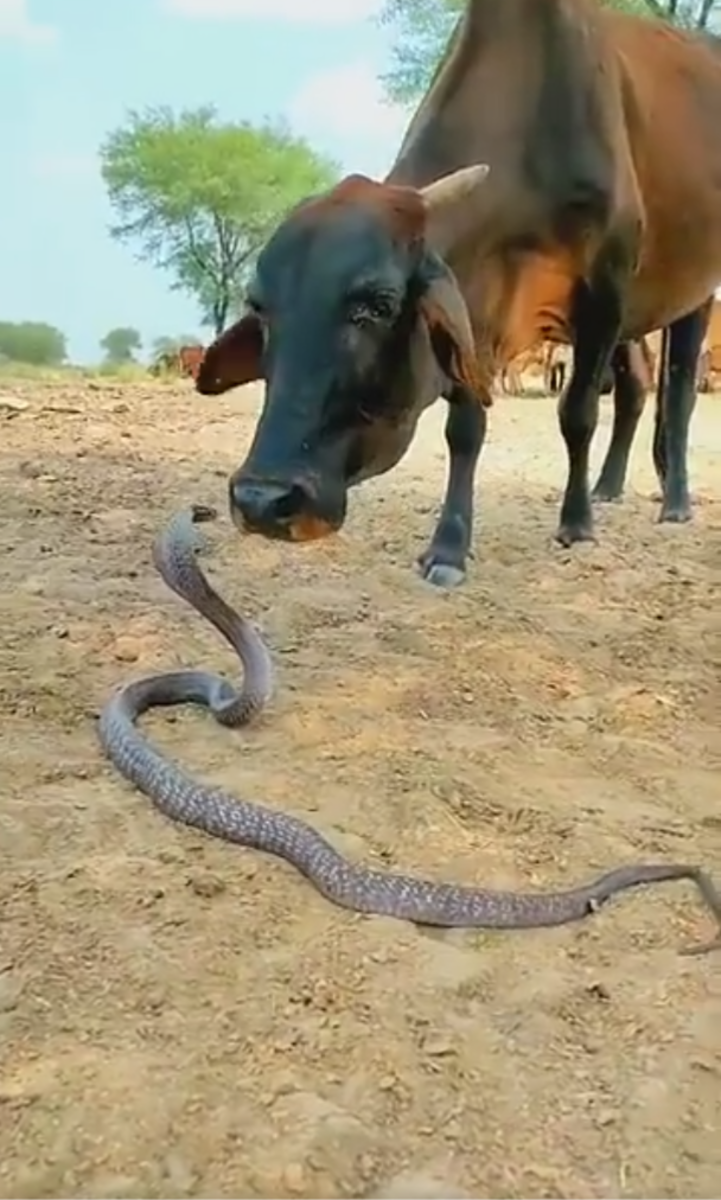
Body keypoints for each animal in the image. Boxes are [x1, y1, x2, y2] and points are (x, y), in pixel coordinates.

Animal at [196, 0, 720, 587]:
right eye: (261, 308)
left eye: (378, 305)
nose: (262, 499)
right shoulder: (480, 311)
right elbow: (465, 429)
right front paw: (448, 547)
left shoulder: (604, 289)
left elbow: (578, 412)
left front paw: (576, 524)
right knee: (635, 388)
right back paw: (608, 487)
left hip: (693, 296)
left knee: (677, 393)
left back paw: (674, 503)